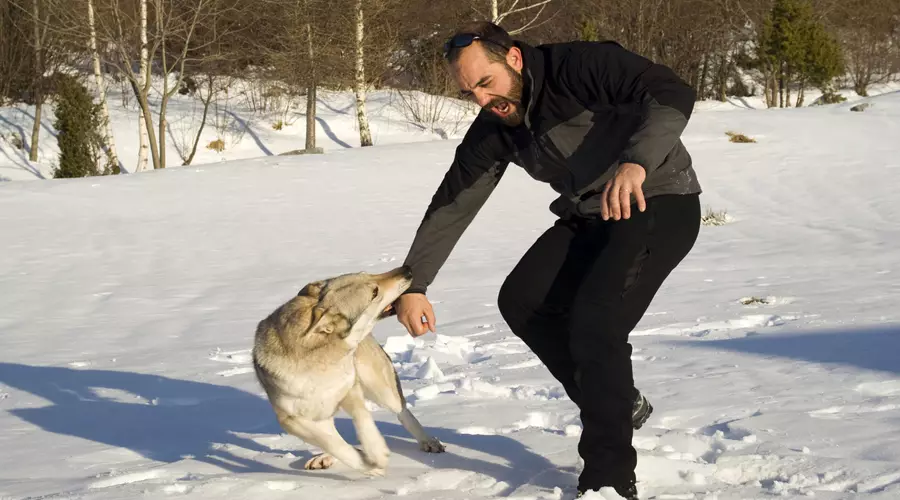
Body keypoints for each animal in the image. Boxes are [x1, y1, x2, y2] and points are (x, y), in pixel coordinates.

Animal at [251, 264, 444, 474]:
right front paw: (367, 464)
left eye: (367, 274)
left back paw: (429, 442)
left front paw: (377, 453)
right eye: (374, 292)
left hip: (381, 387)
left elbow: (363, 420)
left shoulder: (350, 388)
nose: (407, 269)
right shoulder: (290, 419)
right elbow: (333, 443)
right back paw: (326, 458)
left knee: (403, 413)